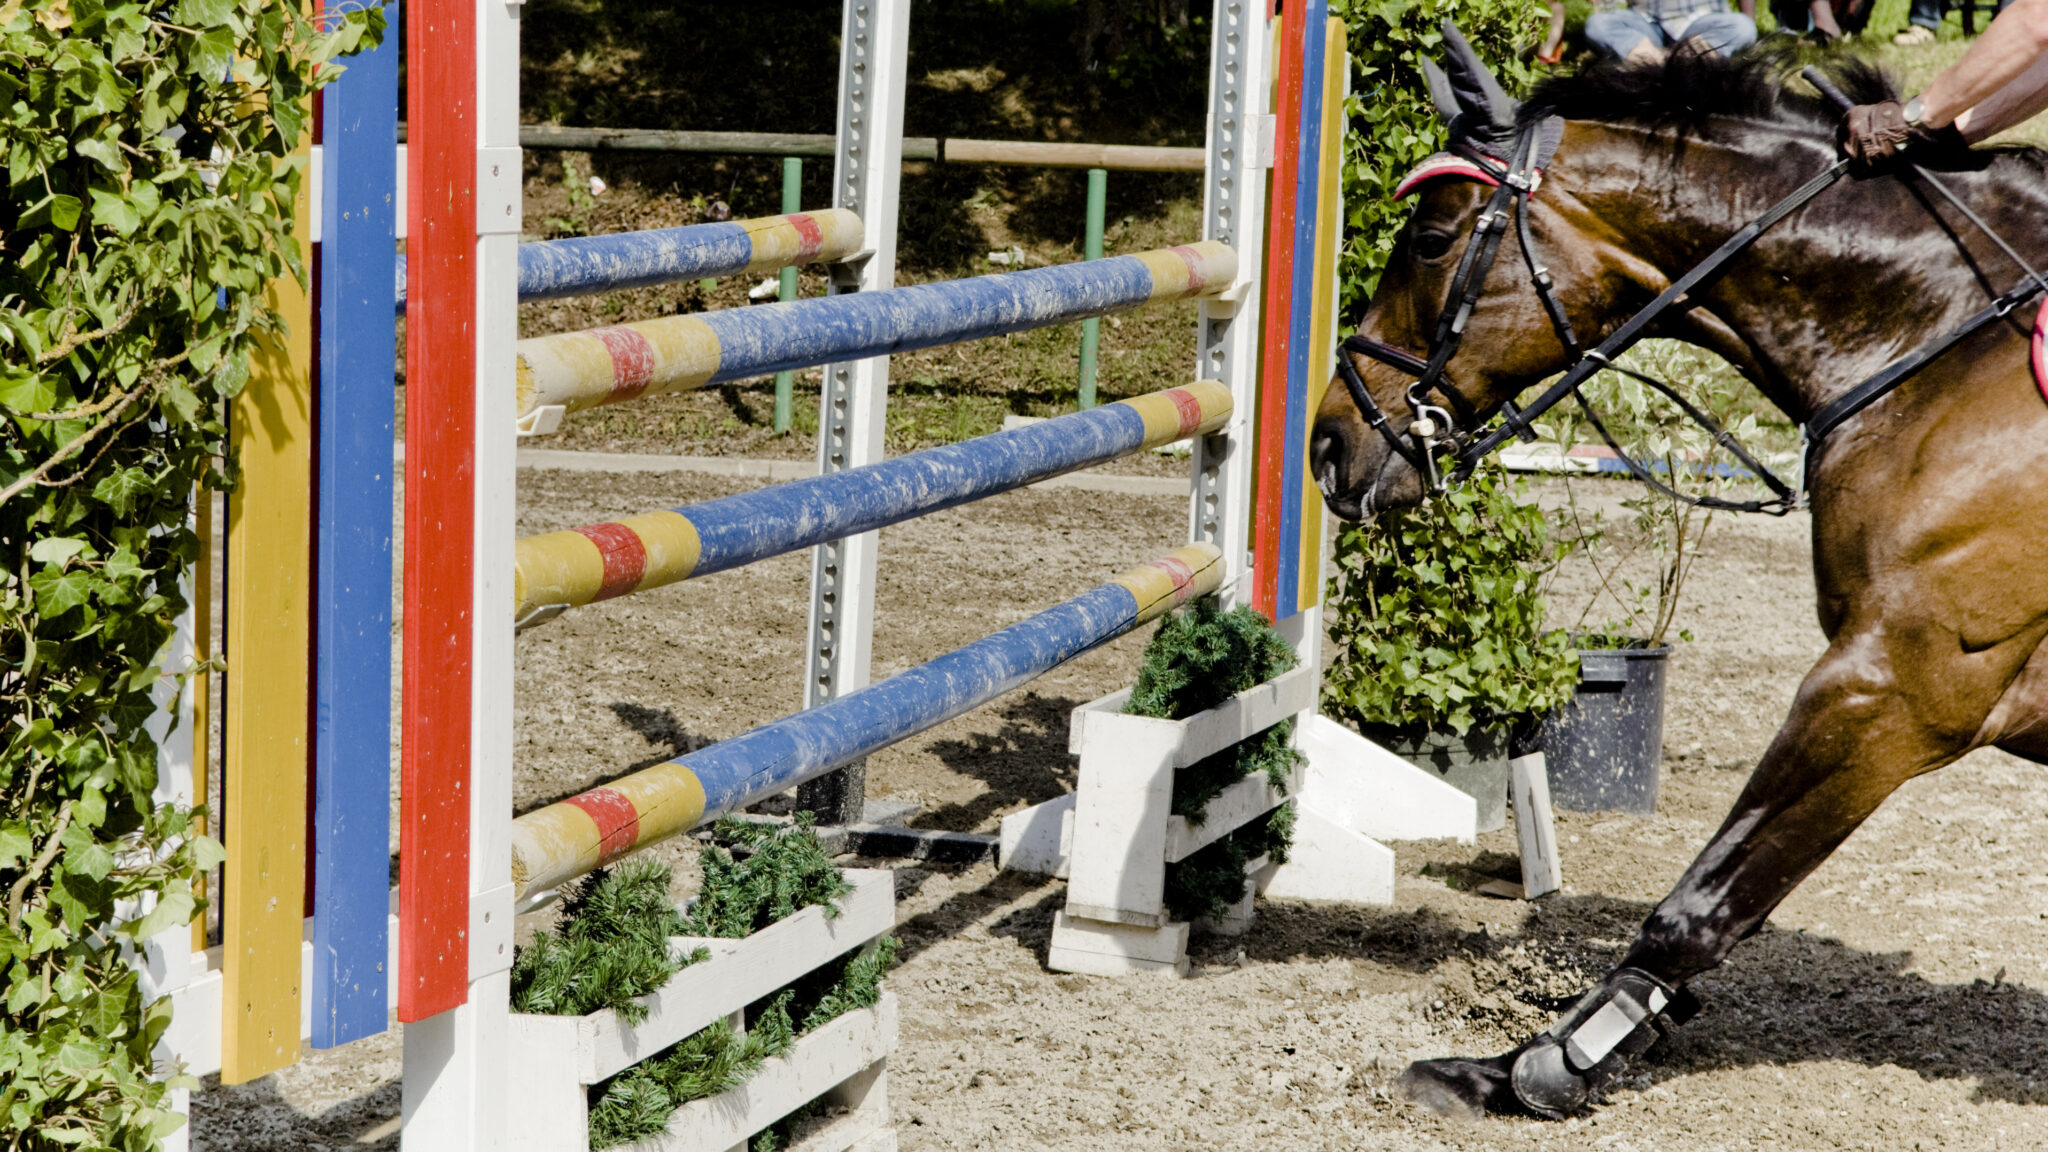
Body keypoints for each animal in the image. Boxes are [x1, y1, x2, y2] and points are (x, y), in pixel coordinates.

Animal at [1310, 35, 2048, 1120]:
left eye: (1435, 238)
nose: (1330, 444)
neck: (1947, 344)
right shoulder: (1888, 685)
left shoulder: (1892, 686)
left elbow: (1702, 900)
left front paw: (1541, 1063)